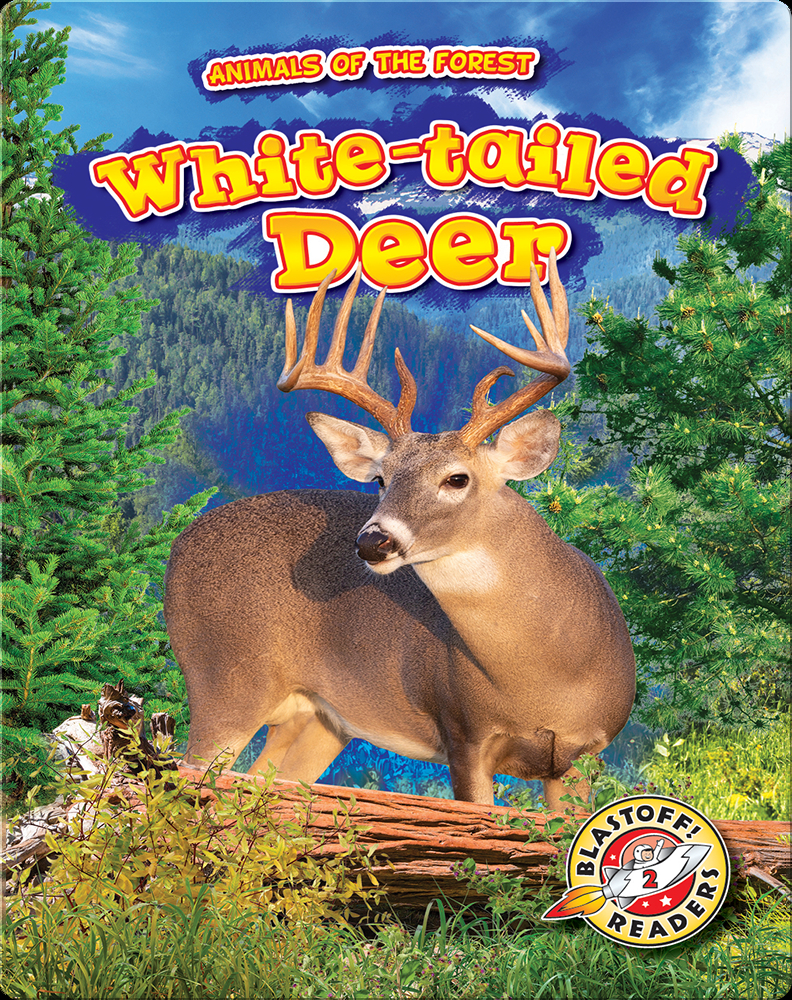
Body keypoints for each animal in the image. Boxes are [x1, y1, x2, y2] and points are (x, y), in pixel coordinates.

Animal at [164, 250, 635, 810]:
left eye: (457, 478)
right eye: (381, 479)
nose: (373, 541)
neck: (547, 673)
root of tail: (176, 549)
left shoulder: (585, 752)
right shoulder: (464, 733)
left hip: (317, 720)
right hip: (224, 679)